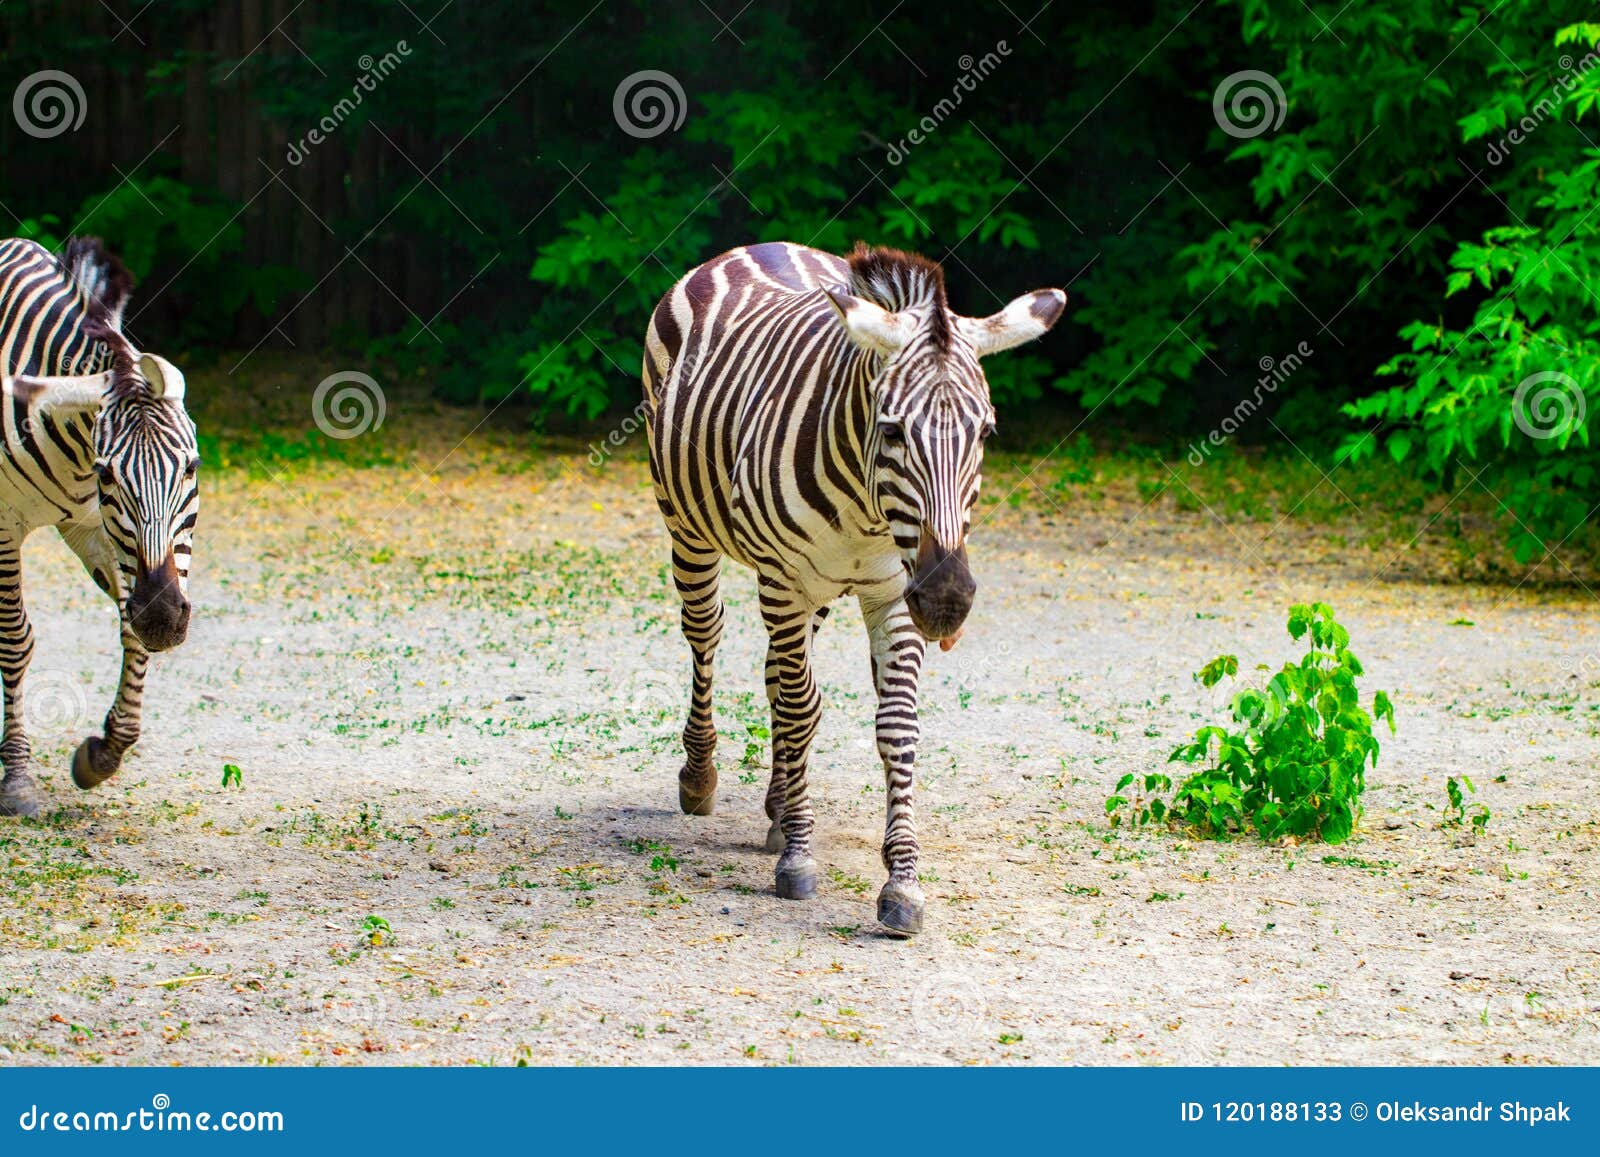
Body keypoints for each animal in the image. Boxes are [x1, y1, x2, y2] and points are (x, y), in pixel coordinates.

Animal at [0, 236, 198, 818]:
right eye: (108, 473)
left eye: (191, 467)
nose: (164, 620)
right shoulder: (6, 520)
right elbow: (15, 640)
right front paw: (16, 779)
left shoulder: (94, 529)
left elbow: (129, 627)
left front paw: (104, 752)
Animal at [643, 241, 1065, 934]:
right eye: (891, 431)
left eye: (985, 433)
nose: (947, 601)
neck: (868, 511)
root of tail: (763, 246)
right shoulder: (785, 579)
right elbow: (800, 709)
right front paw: (797, 856)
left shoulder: (895, 590)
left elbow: (894, 725)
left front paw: (902, 881)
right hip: (691, 529)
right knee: (707, 636)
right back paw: (701, 777)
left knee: (773, 673)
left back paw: (777, 805)